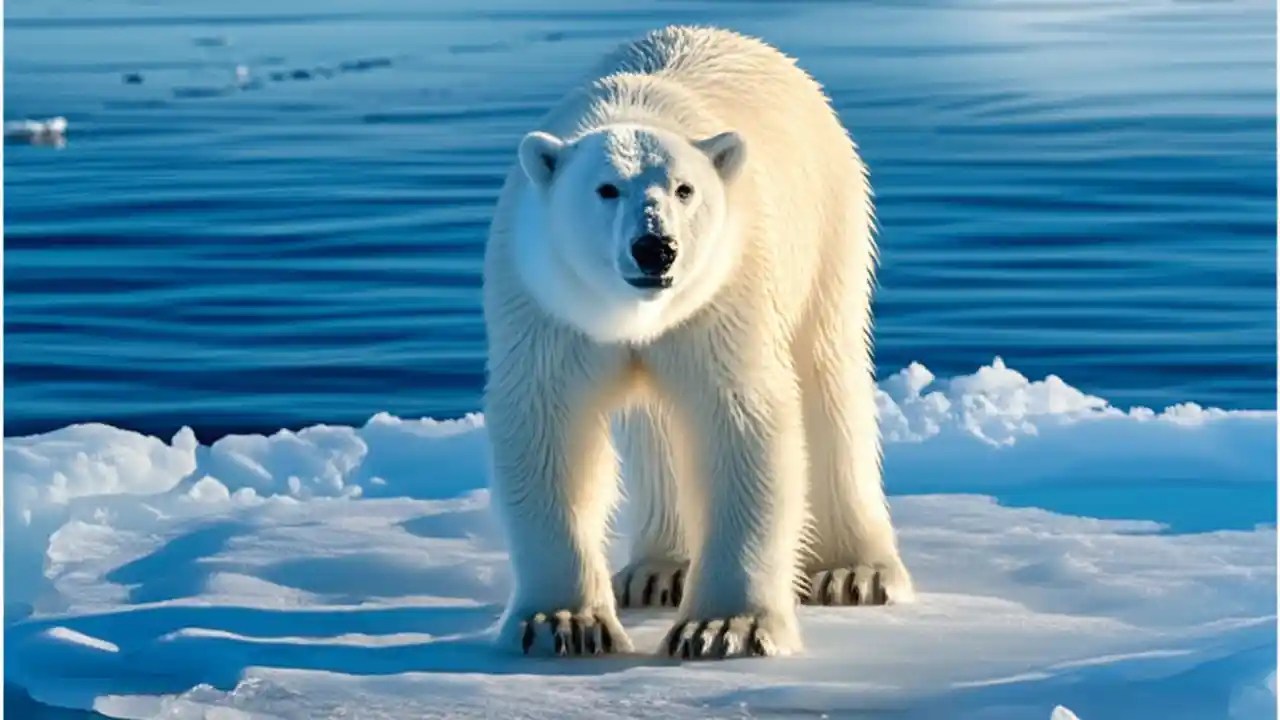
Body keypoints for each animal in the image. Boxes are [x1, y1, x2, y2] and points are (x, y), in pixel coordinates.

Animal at [483, 25, 913, 659]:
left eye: (685, 189)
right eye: (605, 189)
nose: (655, 248)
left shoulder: (726, 295)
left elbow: (740, 418)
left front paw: (723, 628)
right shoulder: (546, 303)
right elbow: (547, 426)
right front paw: (562, 622)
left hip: (830, 225)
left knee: (828, 381)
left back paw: (854, 571)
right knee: (658, 427)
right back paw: (657, 569)